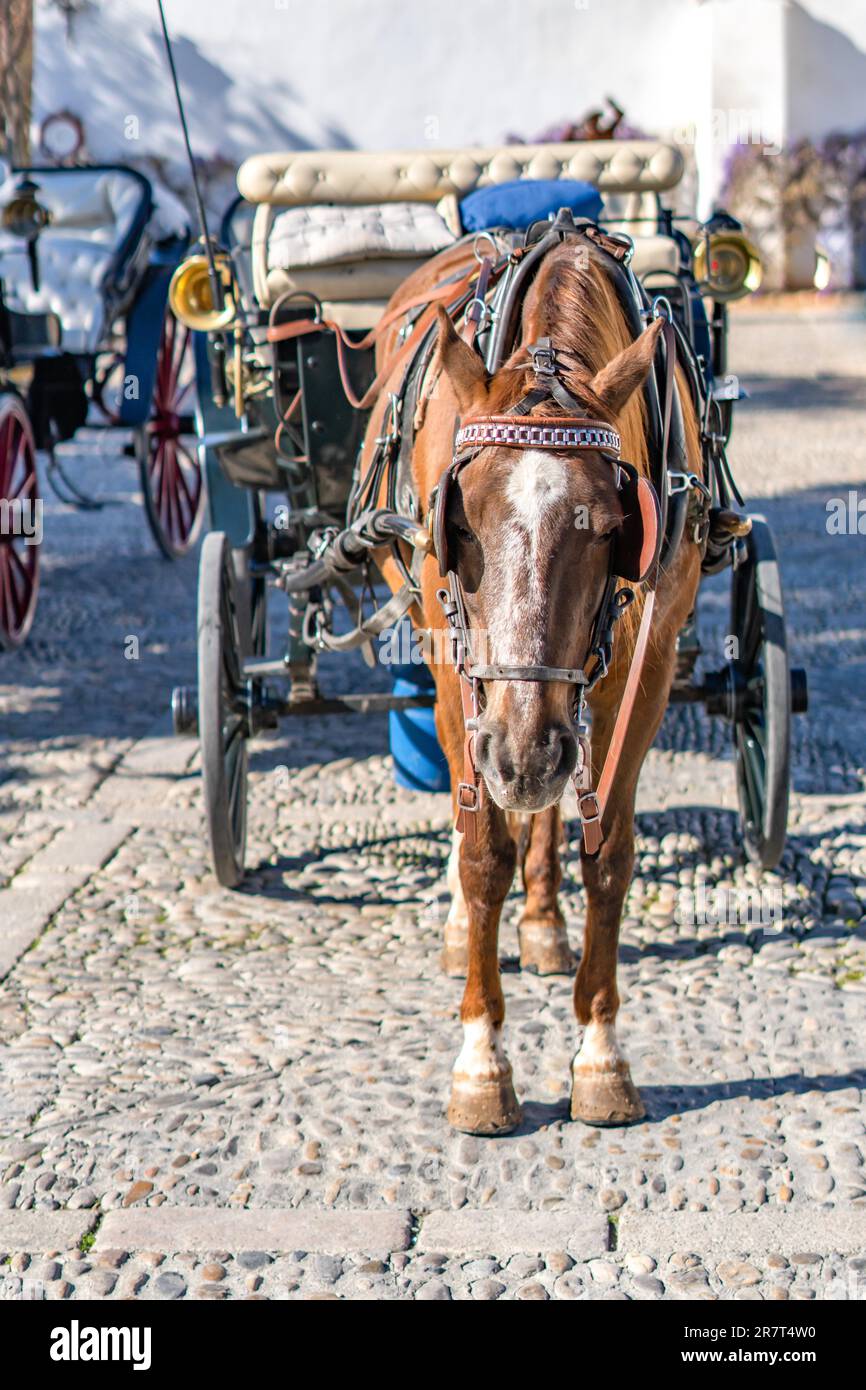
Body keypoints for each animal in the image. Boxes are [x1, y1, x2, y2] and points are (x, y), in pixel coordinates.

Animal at [364, 231, 702, 1135]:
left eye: (614, 527)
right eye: (461, 517)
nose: (522, 755)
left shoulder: (646, 664)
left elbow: (609, 851)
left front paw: (601, 1055)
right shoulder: (463, 669)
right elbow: (484, 851)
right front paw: (481, 1064)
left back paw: (546, 920)